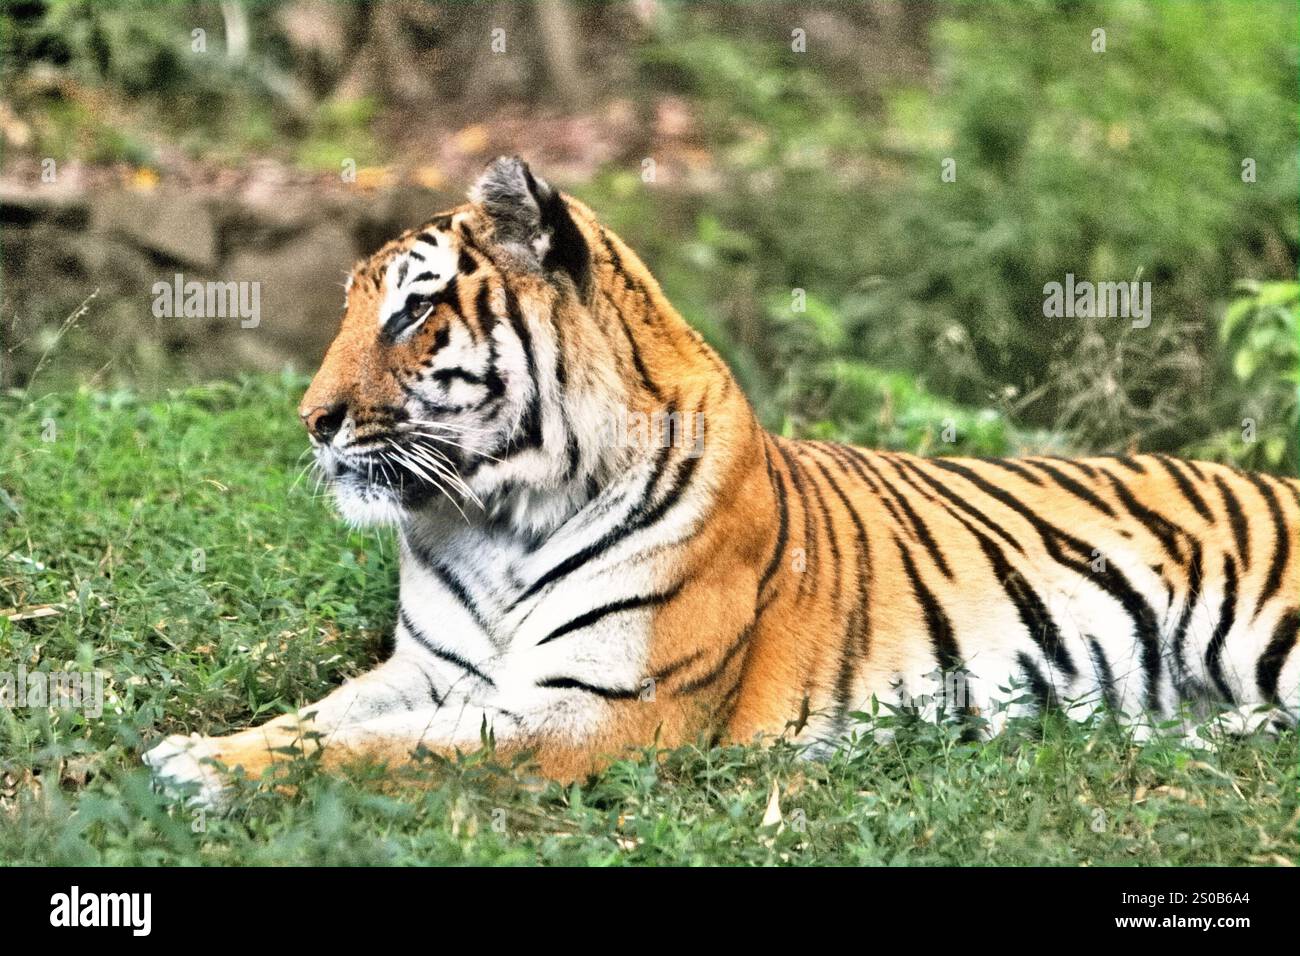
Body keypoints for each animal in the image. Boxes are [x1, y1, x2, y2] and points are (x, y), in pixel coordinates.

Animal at [145, 156, 1300, 808]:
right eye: (352, 307)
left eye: (413, 310)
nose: (312, 420)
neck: (497, 517)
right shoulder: (431, 670)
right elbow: (319, 720)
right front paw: (203, 745)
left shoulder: (602, 708)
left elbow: (397, 755)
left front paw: (202, 776)